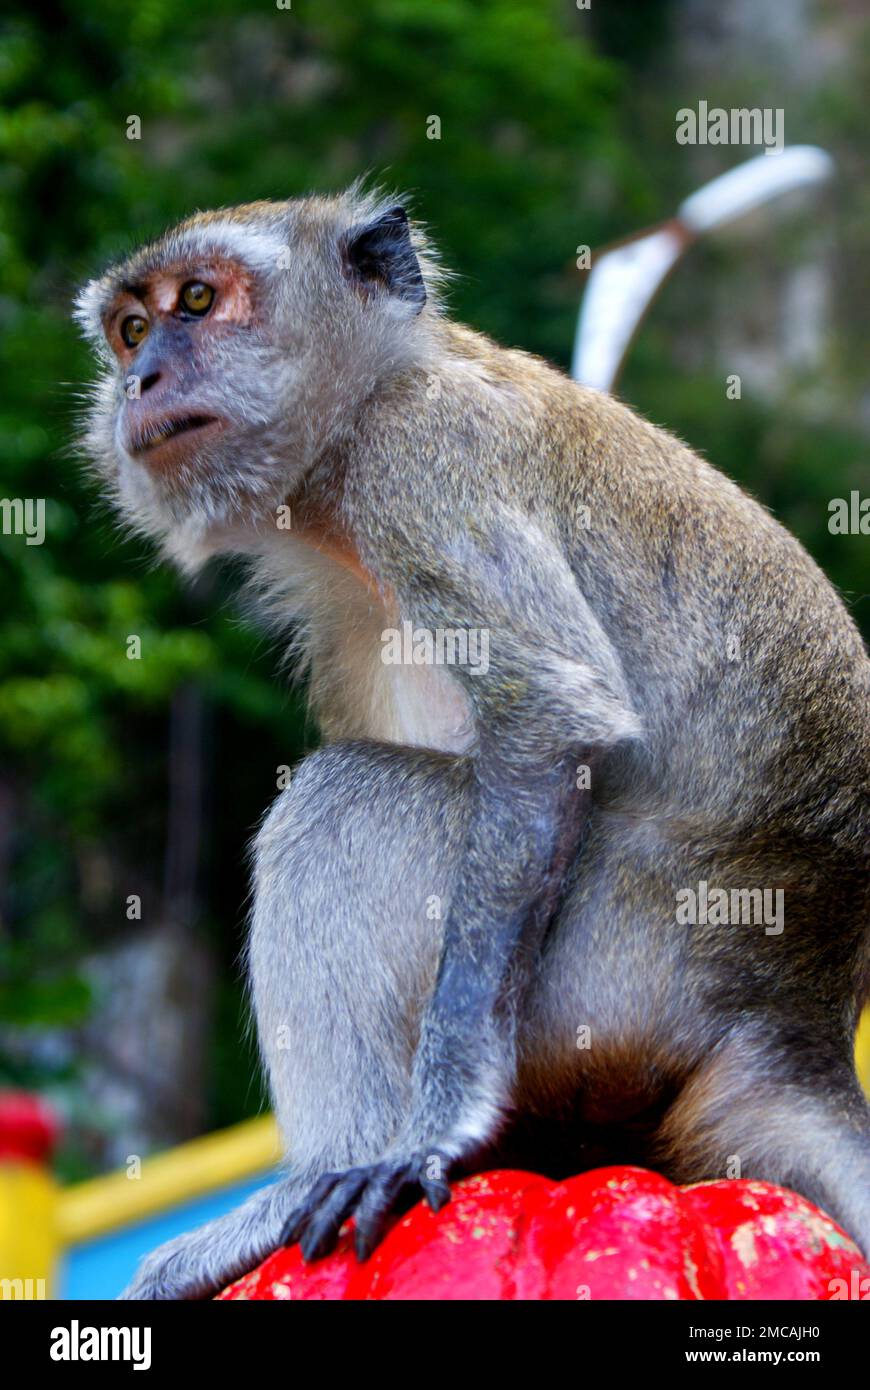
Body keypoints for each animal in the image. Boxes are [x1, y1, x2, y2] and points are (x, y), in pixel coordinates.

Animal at [73, 184, 870, 1300]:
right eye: (131, 328)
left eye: (197, 300)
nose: (138, 381)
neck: (368, 403)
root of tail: (794, 1009)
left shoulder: (421, 460)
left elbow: (550, 718)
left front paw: (435, 1129)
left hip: (621, 967)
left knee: (340, 802)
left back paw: (315, 1175)